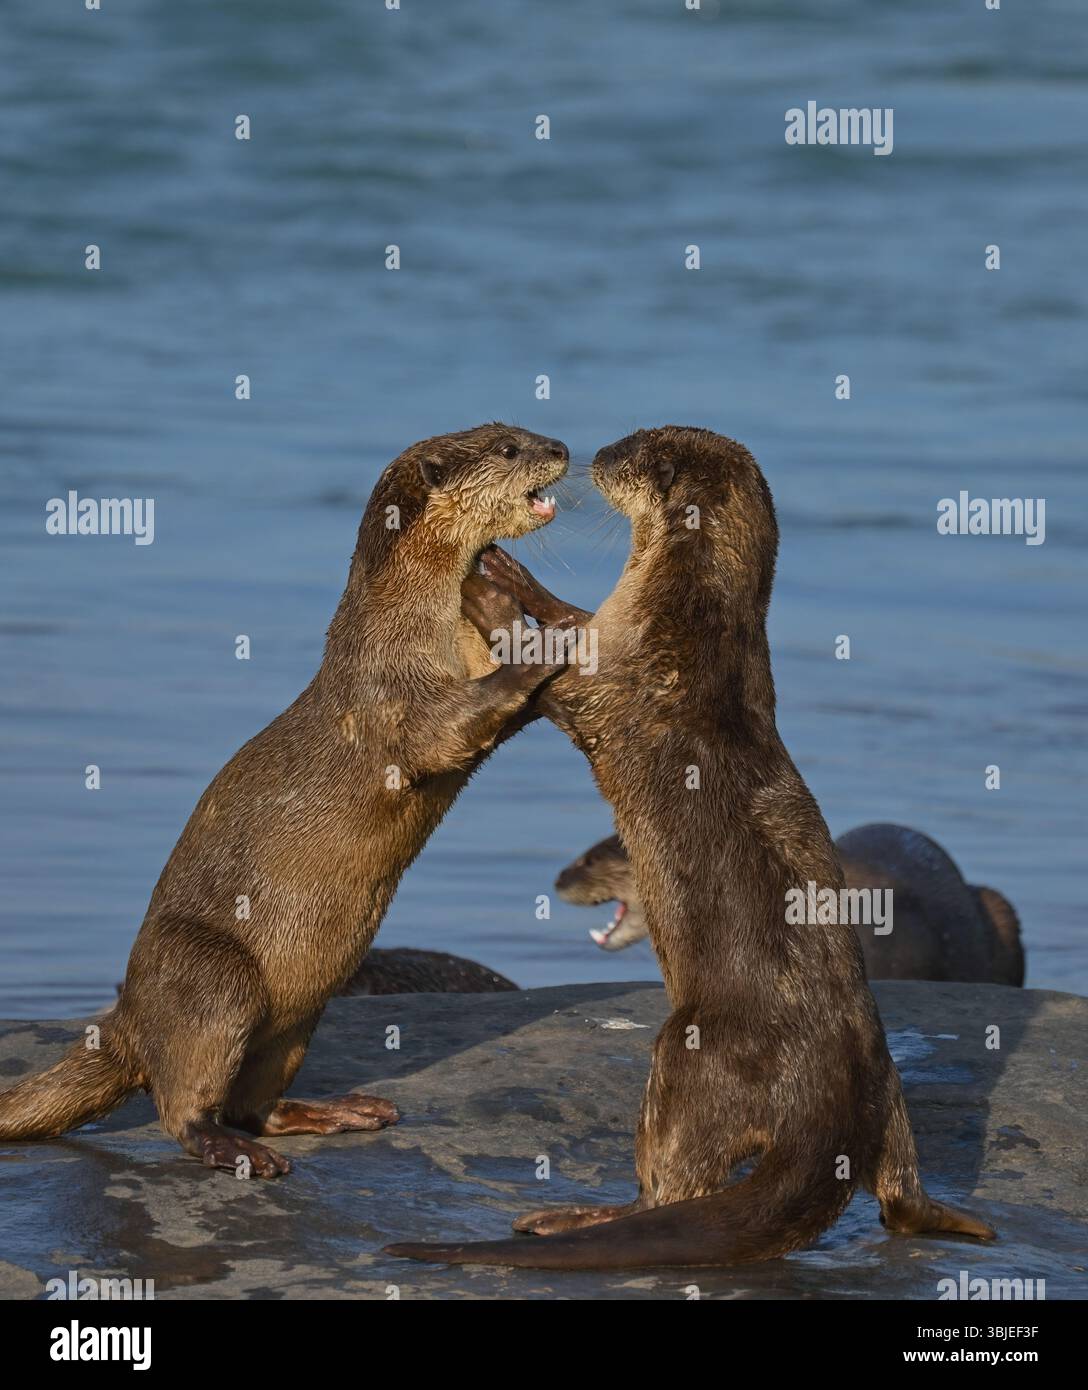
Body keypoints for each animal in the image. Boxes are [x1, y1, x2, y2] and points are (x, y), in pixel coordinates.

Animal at [0, 424, 567, 1177]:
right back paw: (233, 1149)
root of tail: (126, 1023)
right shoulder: (392, 688)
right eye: (507, 448)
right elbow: (443, 728)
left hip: (298, 1021)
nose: (560, 449)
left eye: (523, 434)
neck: (413, 616)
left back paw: (337, 1112)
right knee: (181, 1101)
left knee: (253, 1100)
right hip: (214, 976)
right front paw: (548, 644)